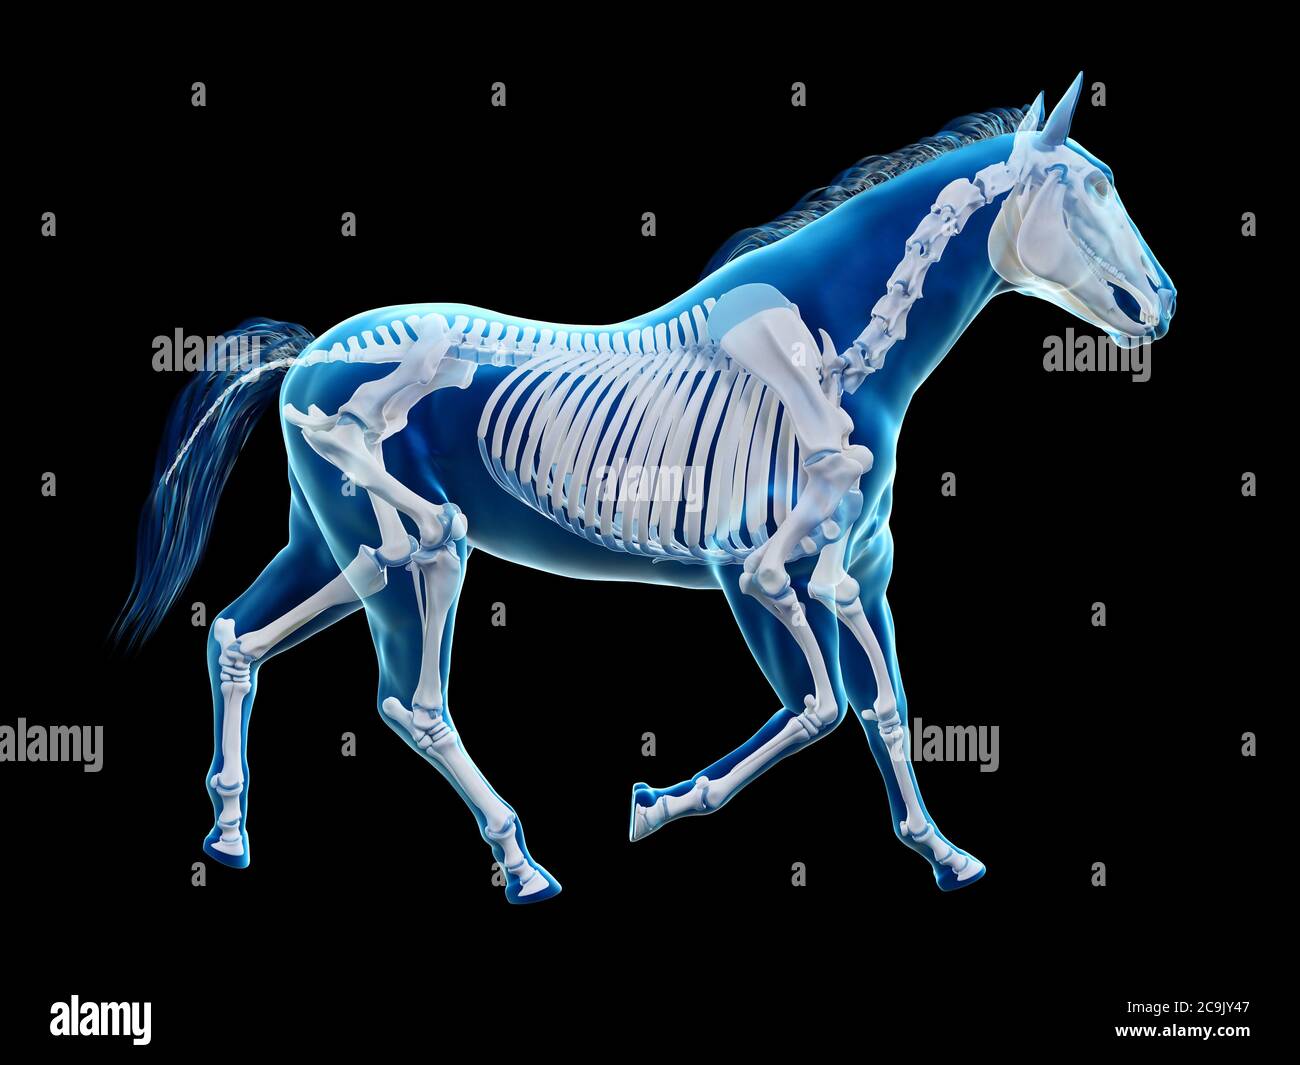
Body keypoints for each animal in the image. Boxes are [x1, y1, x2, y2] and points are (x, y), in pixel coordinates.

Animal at [115, 74, 1175, 903]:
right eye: (1090, 185)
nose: (1159, 303)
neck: (837, 350)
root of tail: (304, 358)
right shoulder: (749, 567)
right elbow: (820, 704)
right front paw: (654, 806)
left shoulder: (866, 568)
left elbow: (886, 705)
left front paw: (945, 856)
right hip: (390, 536)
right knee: (409, 681)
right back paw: (522, 865)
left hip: (327, 539)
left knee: (240, 631)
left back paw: (230, 834)